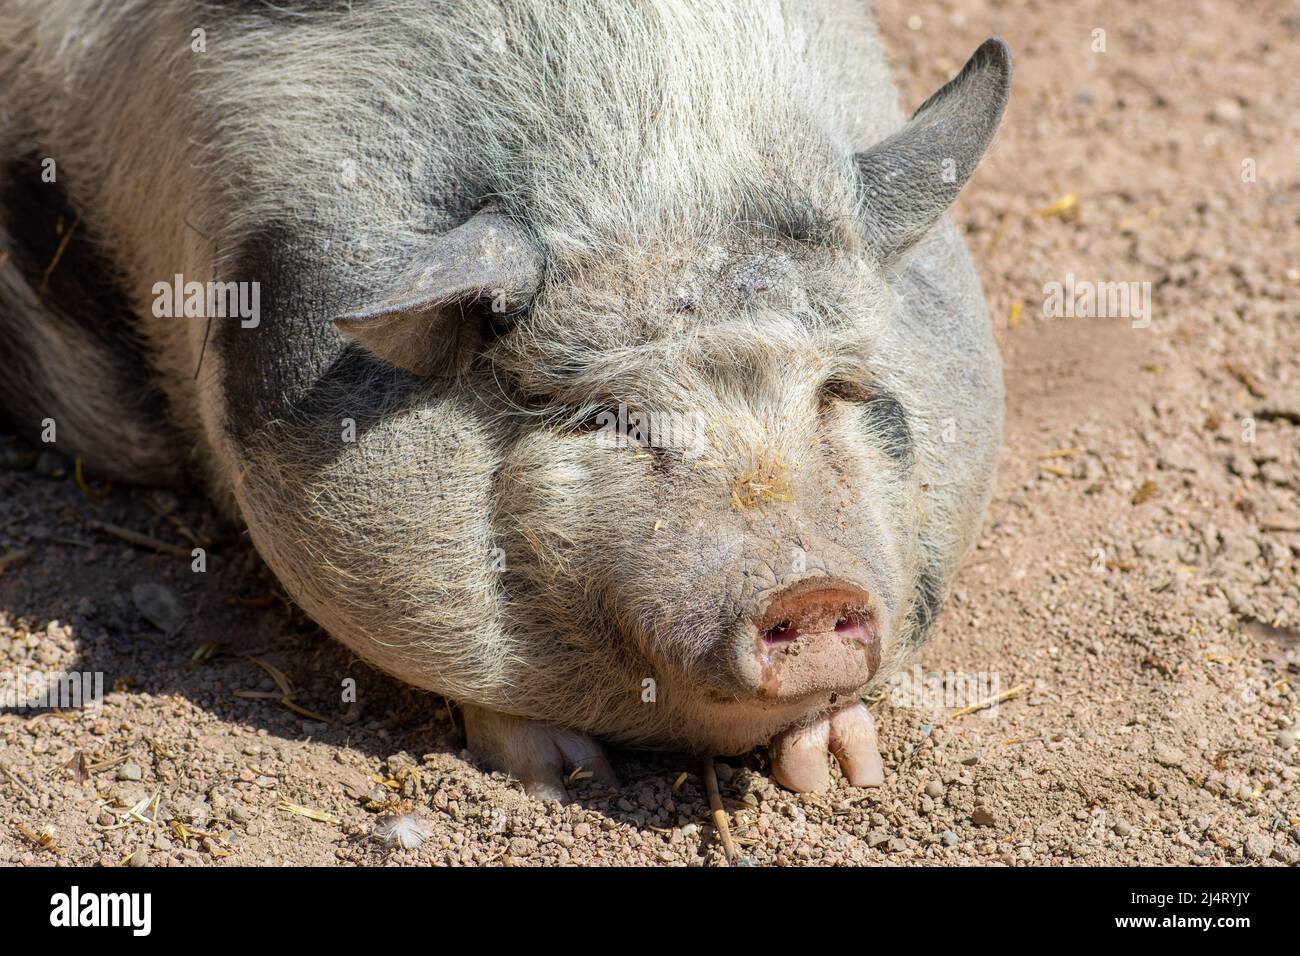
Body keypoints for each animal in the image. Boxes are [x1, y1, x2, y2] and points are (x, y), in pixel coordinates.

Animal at [0, 0, 1010, 799]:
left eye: (840, 389)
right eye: (606, 417)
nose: (809, 587)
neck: (655, 143)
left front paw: (845, 773)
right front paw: (565, 782)